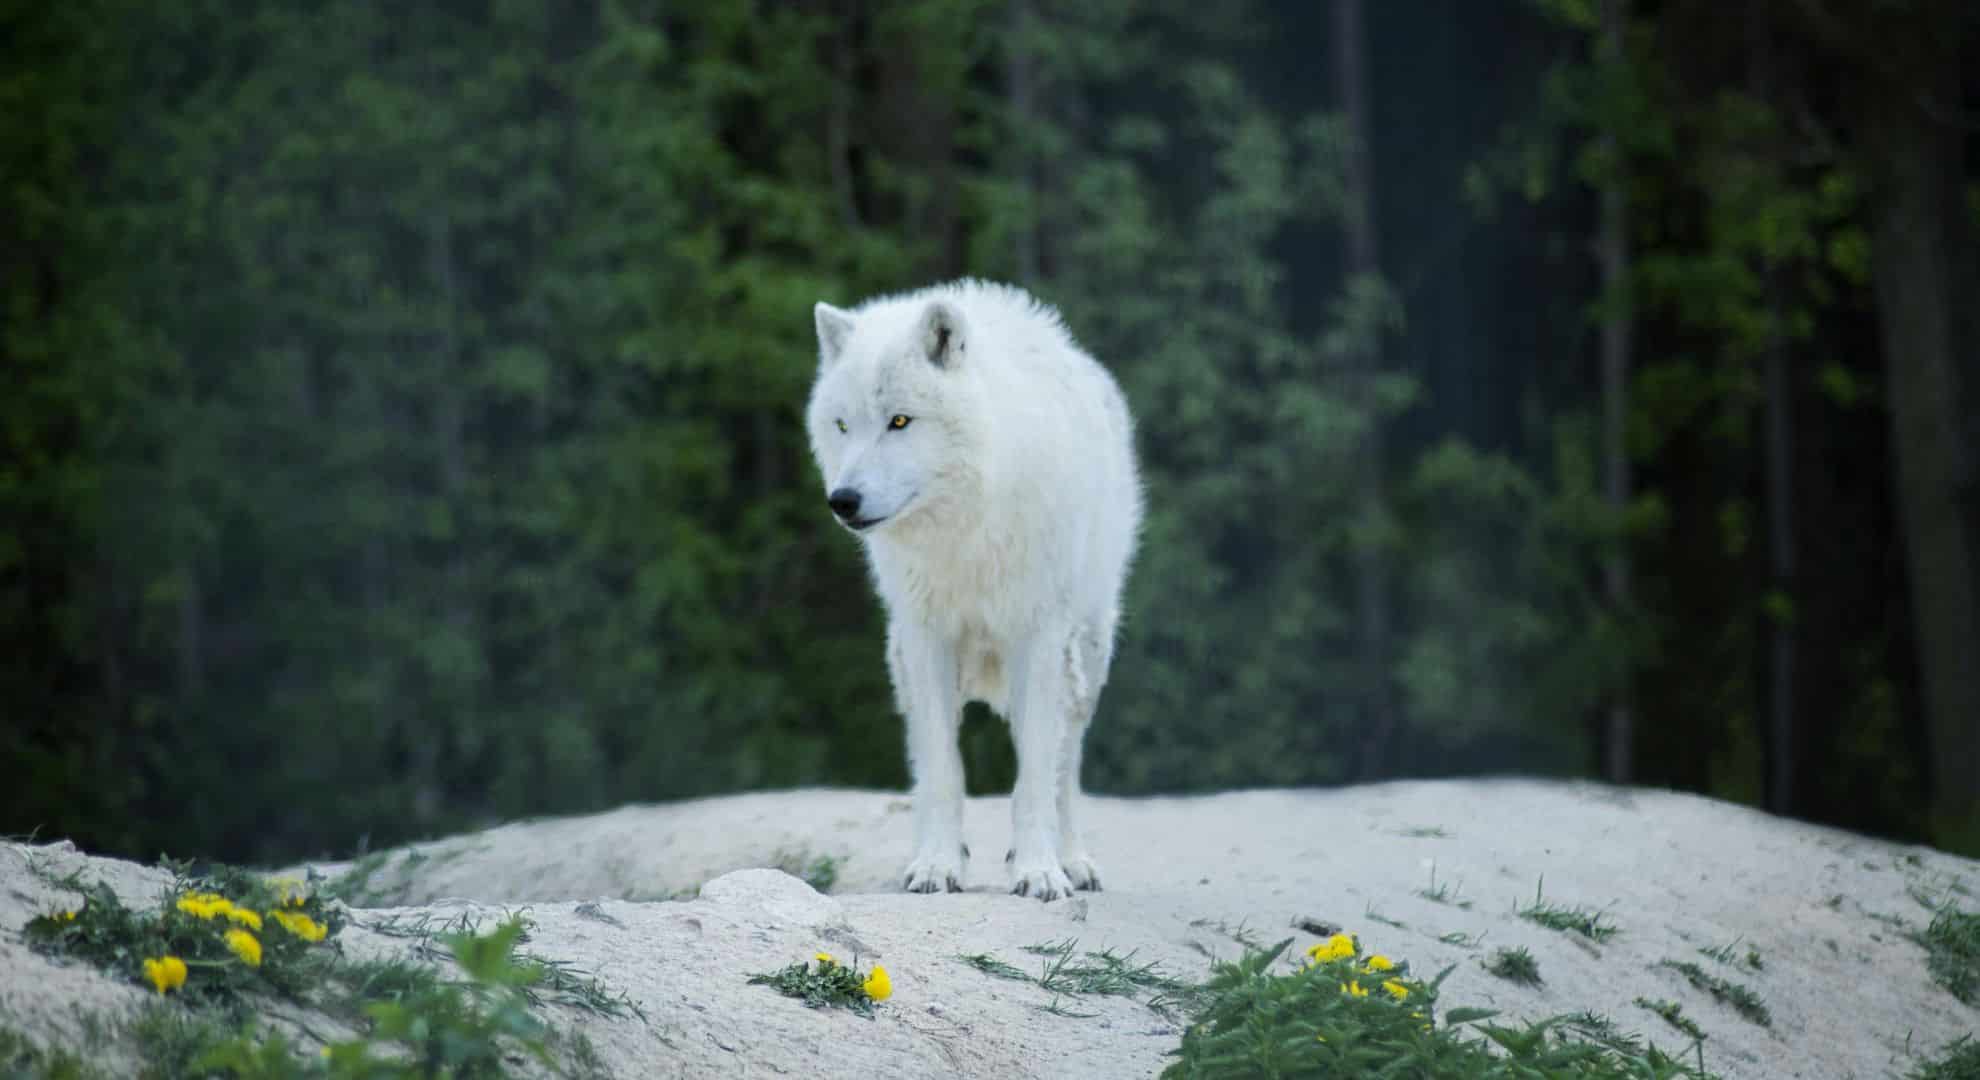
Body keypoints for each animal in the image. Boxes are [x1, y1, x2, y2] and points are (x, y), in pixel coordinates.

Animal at [805, 280, 1142, 901]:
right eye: (842, 426)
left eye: (899, 421)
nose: (842, 501)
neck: (962, 528)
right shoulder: (927, 638)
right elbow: (943, 770)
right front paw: (938, 867)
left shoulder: (1038, 636)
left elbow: (1034, 776)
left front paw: (1038, 871)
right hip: (903, 664)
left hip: (1086, 655)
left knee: (1066, 766)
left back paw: (1073, 861)